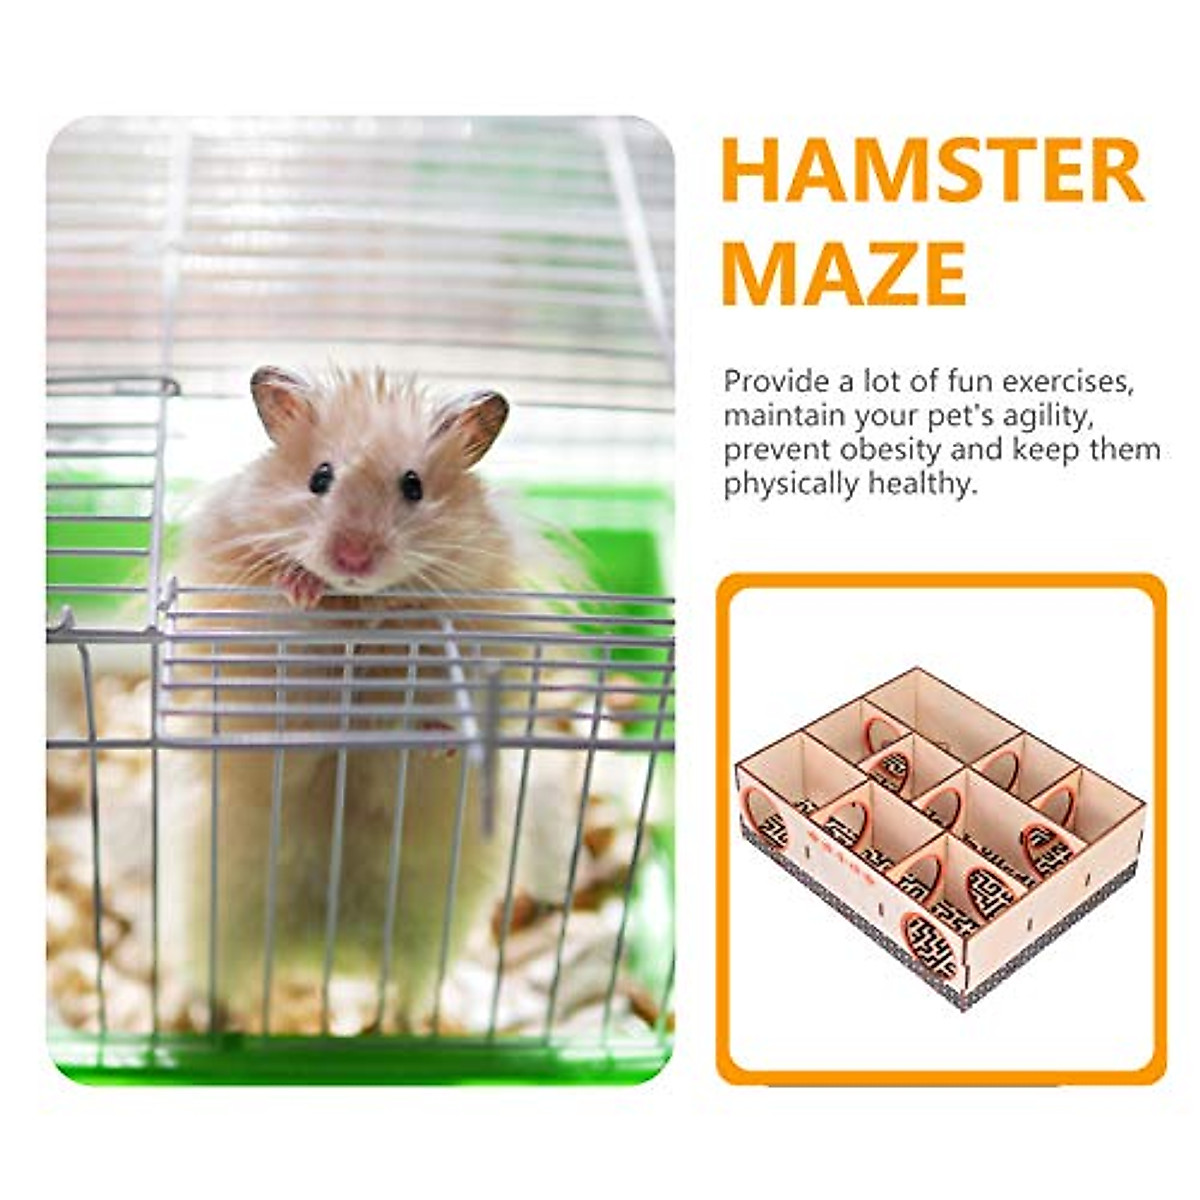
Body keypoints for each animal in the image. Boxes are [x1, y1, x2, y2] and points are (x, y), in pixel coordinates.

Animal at [163, 366, 553, 1032]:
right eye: (320, 477)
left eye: (414, 486)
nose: (352, 558)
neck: (355, 609)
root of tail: (330, 956)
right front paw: (300, 585)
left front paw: (442, 741)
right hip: (216, 918)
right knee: (223, 985)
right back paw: (218, 1024)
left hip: (430, 932)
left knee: (405, 993)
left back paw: (396, 1027)